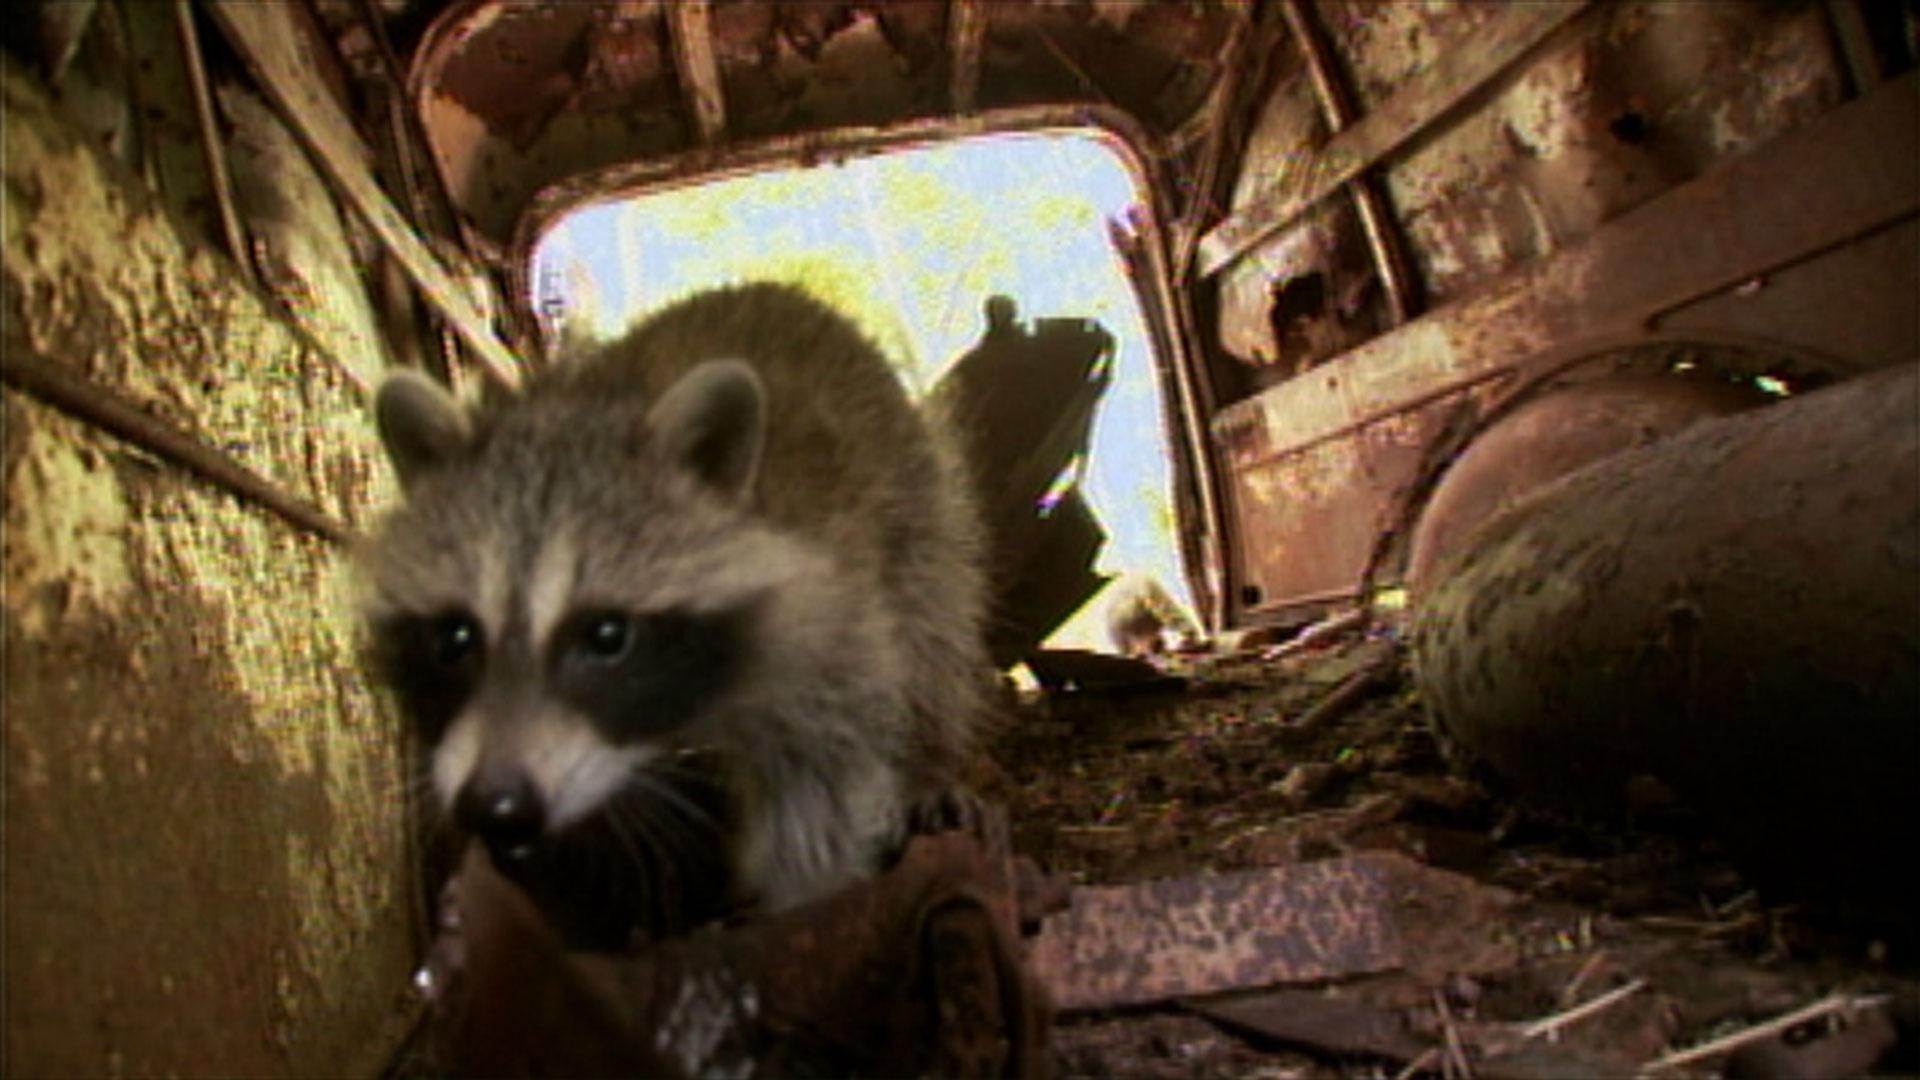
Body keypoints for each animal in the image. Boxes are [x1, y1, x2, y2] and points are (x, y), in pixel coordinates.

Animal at [359, 283, 990, 946]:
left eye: (608, 634)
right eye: (455, 637)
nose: (496, 805)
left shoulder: (836, 637)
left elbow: (819, 801)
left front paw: (801, 908)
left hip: (921, 503)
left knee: (937, 626)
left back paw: (932, 756)